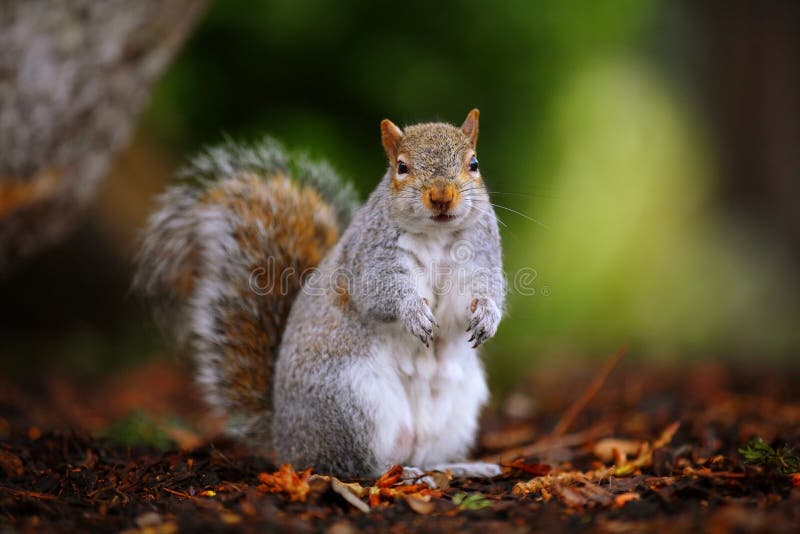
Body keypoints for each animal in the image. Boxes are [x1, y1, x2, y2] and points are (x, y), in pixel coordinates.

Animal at [134, 109, 506, 479]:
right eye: (402, 167)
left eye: (473, 163)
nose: (442, 197)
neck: (436, 234)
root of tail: (286, 442)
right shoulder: (369, 255)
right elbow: (378, 291)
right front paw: (413, 312)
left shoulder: (480, 256)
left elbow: (483, 291)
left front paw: (487, 314)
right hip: (354, 403)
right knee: (356, 466)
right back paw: (403, 474)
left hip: (455, 409)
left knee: (421, 453)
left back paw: (456, 467)